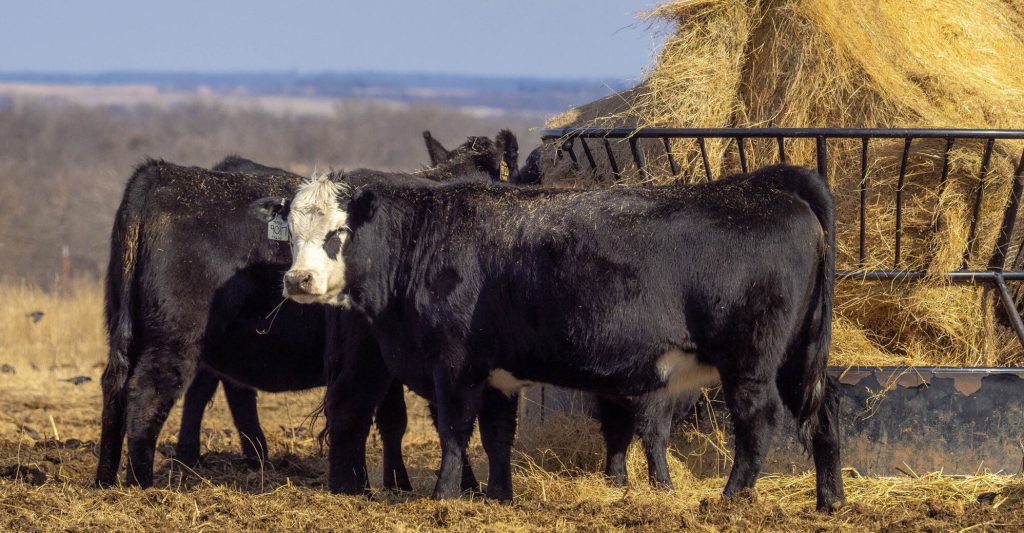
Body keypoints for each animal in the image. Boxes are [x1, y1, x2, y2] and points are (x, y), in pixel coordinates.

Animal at [280, 164, 845, 511]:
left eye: (337, 234)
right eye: (291, 235)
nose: (297, 280)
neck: (427, 237)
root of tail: (768, 186)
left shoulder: (455, 364)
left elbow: (455, 432)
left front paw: (444, 496)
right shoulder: (496, 373)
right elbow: (497, 435)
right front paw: (499, 495)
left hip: (749, 362)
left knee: (758, 420)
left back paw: (730, 499)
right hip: (800, 355)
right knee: (824, 411)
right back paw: (830, 499)